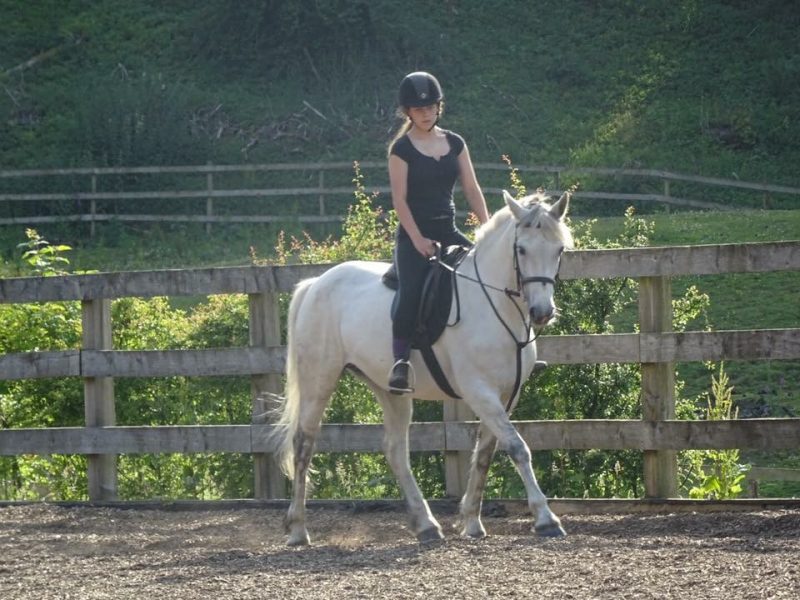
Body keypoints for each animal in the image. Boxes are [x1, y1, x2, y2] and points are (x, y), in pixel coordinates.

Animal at [273, 189, 574, 546]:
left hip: (389, 390)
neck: (496, 306)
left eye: (559, 250)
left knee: (395, 450)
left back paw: (426, 524)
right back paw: (298, 530)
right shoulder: (479, 391)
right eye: (522, 249)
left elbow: (485, 454)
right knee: (304, 444)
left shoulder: (505, 395)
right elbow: (517, 448)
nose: (542, 312)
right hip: (319, 380)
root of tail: (316, 283)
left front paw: (472, 521)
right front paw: (546, 519)